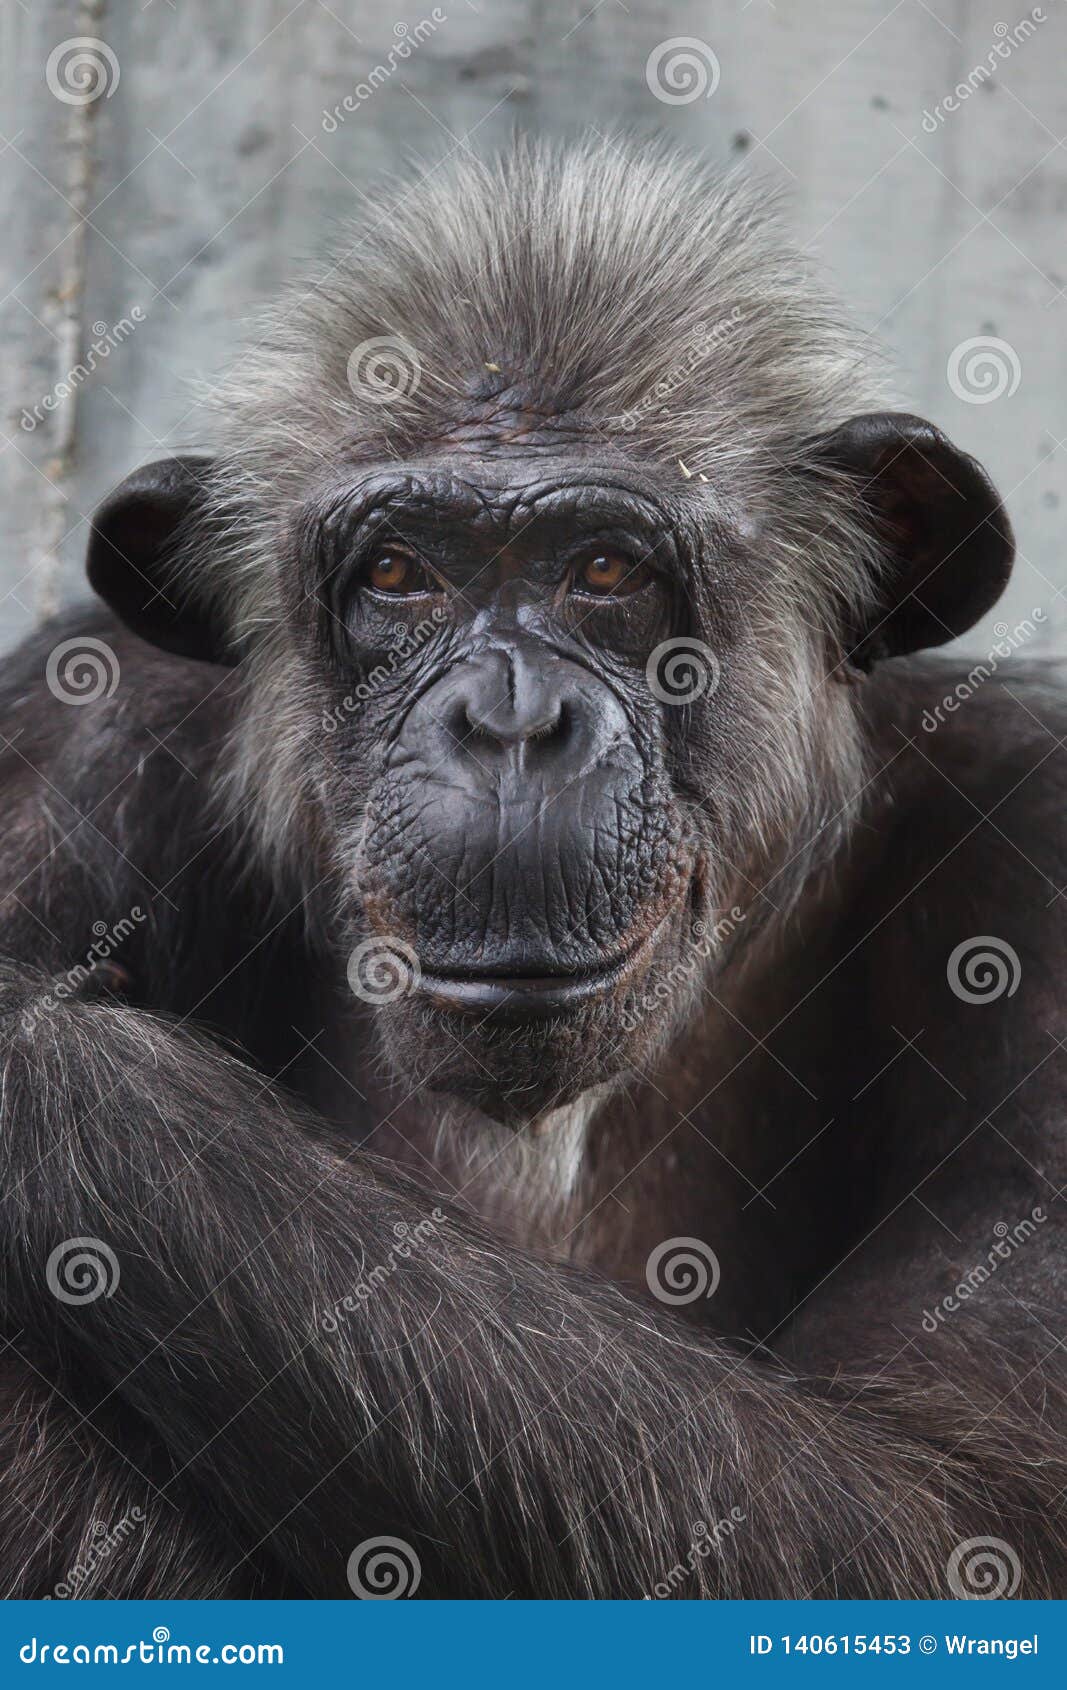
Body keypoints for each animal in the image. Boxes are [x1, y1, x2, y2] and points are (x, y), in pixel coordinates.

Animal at [0, 135, 1064, 1600]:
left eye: (603, 570)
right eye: (399, 574)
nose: (508, 717)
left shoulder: (1034, 852)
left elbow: (948, 1498)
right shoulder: (87, 739)